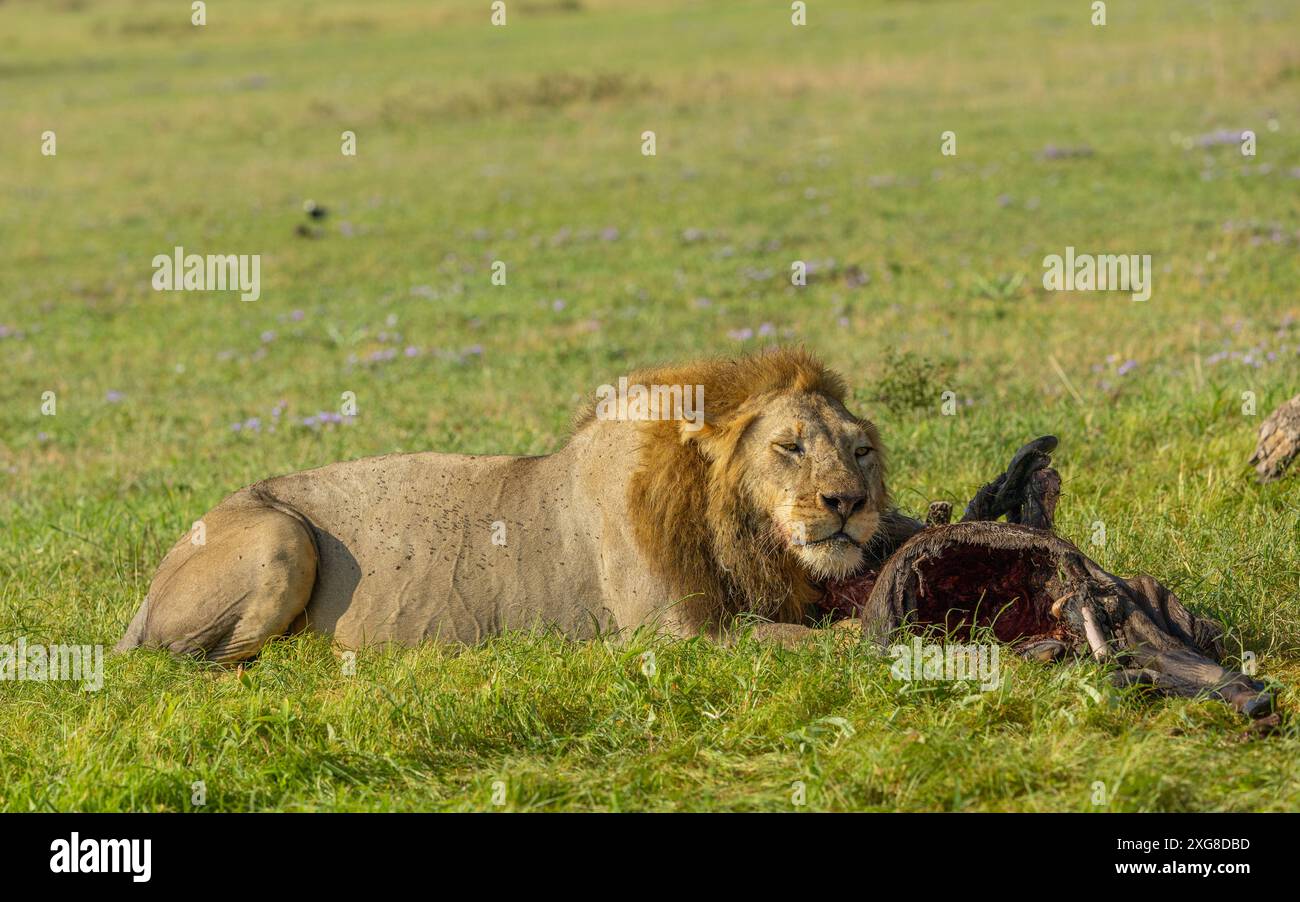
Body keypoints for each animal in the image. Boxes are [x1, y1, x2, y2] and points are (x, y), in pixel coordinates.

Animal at [117, 347, 909, 662]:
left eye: (861, 451)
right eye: (790, 447)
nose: (848, 503)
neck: (737, 531)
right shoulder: (673, 635)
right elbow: (814, 641)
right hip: (281, 538)